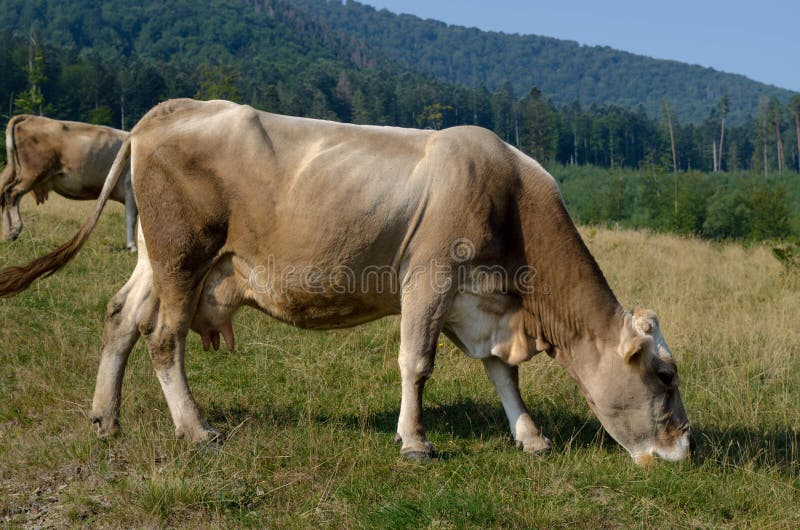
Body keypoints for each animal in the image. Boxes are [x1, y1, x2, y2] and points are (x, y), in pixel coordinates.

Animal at [0, 115, 137, 251]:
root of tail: (31, 117)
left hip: (15, 172)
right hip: (33, 173)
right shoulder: (130, 188)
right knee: (11, 193)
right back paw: (15, 229)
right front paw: (132, 247)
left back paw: (7, 234)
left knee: (4, 195)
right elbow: (131, 218)